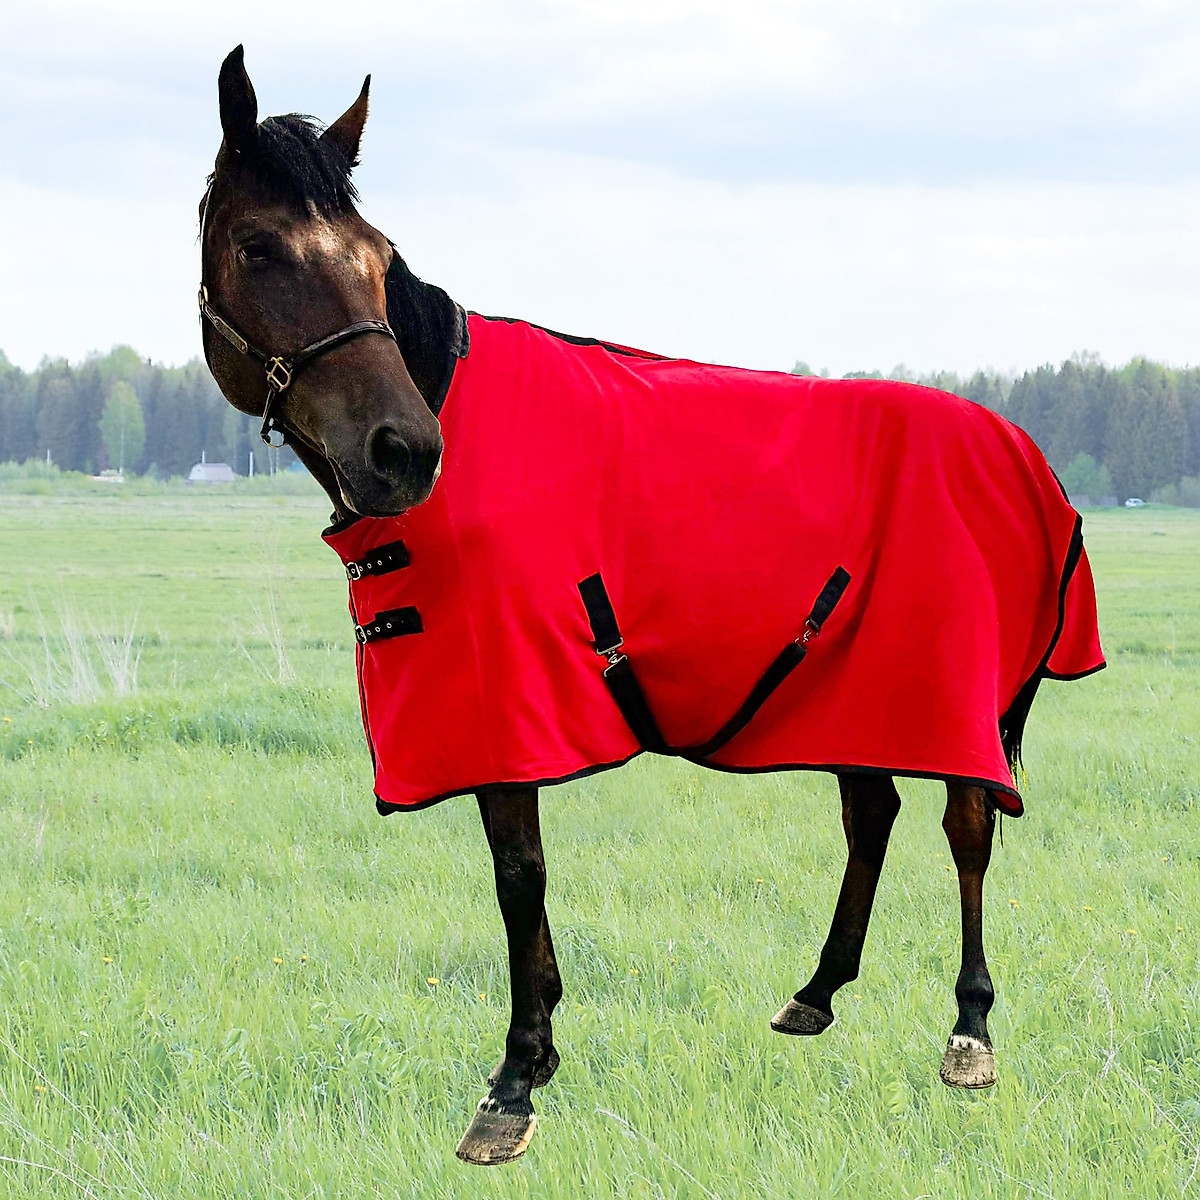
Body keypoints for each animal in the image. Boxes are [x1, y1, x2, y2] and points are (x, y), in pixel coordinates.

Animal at [198, 46, 1105, 1166]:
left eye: (376, 255)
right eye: (258, 245)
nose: (400, 450)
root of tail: (1023, 456)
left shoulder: (507, 706)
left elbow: (519, 878)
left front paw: (513, 1083)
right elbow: (526, 882)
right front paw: (540, 1050)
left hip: (943, 689)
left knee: (966, 823)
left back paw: (970, 1028)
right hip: (853, 685)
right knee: (873, 815)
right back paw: (818, 992)